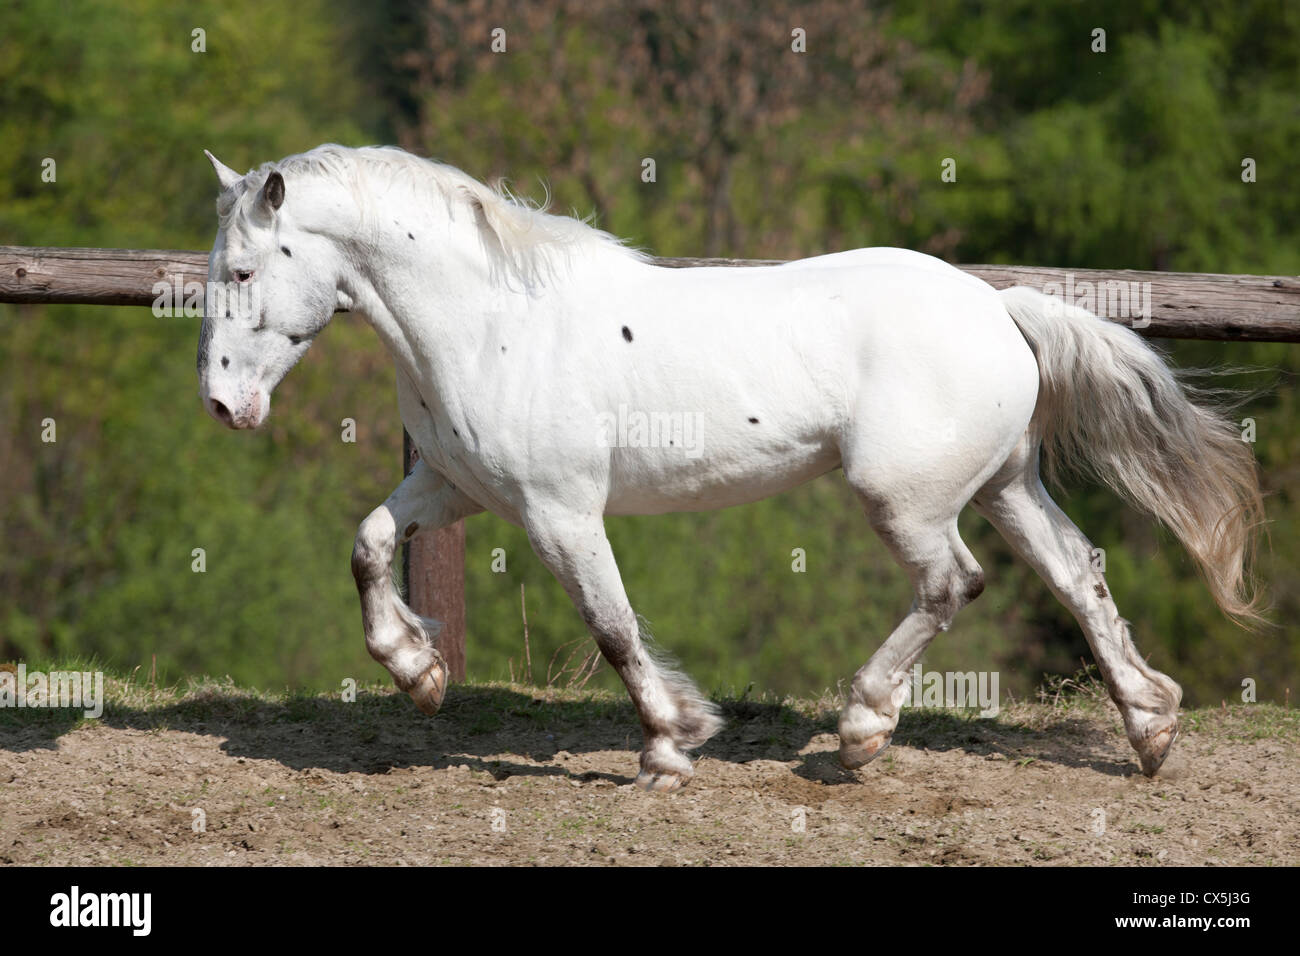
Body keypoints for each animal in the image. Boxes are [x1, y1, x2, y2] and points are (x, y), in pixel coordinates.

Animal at [196, 144, 1263, 791]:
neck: (492, 321)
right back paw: (1151, 729)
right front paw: (418, 674)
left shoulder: (558, 511)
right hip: (1004, 484)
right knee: (1077, 573)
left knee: (954, 583)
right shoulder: (456, 487)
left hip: (906, 499)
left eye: (242, 273)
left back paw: (863, 728)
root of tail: (999, 307)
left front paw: (670, 745)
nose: (221, 407)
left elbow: (614, 627)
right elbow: (370, 545)